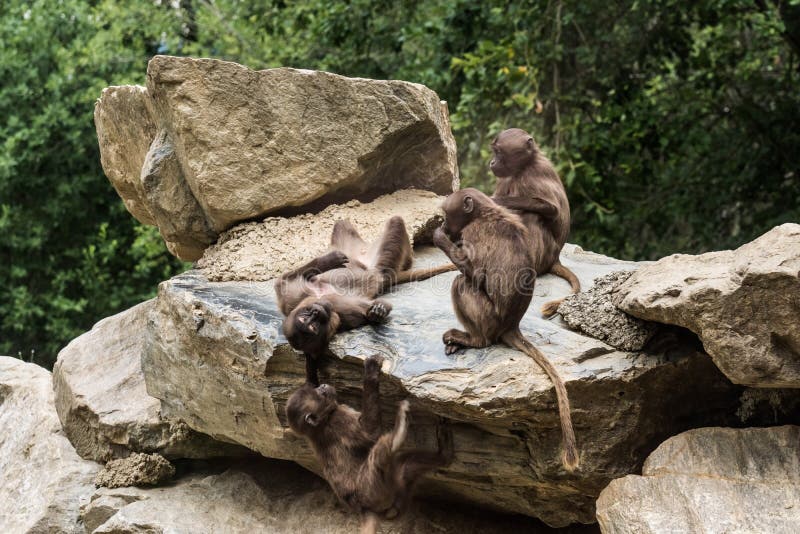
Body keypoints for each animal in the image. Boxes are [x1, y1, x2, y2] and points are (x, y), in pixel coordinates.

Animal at [275, 216, 453, 385]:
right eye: (313, 326)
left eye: (306, 315)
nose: (316, 311)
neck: (320, 297)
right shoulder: (339, 311)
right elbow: (375, 308)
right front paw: (377, 313)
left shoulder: (291, 298)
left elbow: (283, 280)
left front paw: (327, 261)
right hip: (383, 265)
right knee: (394, 230)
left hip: (355, 248)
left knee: (346, 225)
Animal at [286, 354, 453, 534]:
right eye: (321, 393)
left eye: (318, 389)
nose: (323, 385)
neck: (320, 425)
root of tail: (365, 509)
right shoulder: (340, 420)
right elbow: (370, 432)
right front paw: (371, 372)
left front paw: (310, 358)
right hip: (370, 489)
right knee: (378, 454)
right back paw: (399, 431)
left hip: (395, 494)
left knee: (407, 465)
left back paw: (444, 454)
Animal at [432, 188, 578, 470]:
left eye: (446, 213)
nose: (444, 225)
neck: (484, 212)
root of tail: (512, 325)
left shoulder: (473, 233)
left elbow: (476, 274)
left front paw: (438, 237)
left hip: (488, 318)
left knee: (461, 282)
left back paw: (472, 339)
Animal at [490, 128, 580, 316]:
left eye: (499, 152)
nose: (492, 162)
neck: (523, 168)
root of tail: (555, 258)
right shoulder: (505, 178)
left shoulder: (537, 172)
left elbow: (553, 209)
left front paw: (498, 202)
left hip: (547, 252)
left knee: (533, 216)